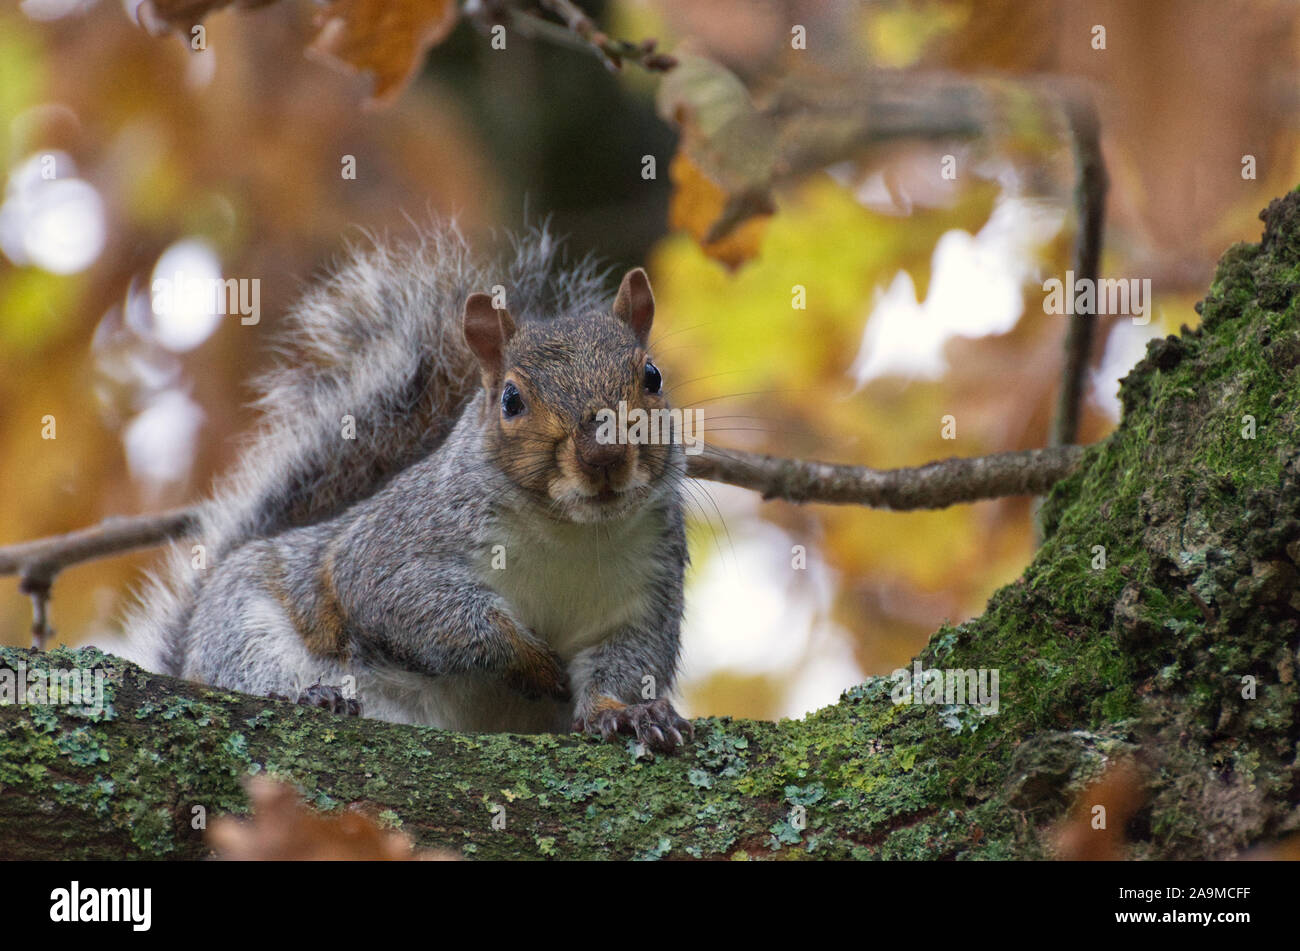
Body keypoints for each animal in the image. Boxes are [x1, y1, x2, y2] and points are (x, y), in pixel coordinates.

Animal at [125, 224, 694, 753]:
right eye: (511, 400)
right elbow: (420, 606)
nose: (604, 454)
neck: (570, 532)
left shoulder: (645, 593)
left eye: (652, 376)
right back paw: (309, 694)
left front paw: (624, 713)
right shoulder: (398, 543)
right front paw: (528, 658)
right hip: (240, 621)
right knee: (245, 667)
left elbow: (626, 663)